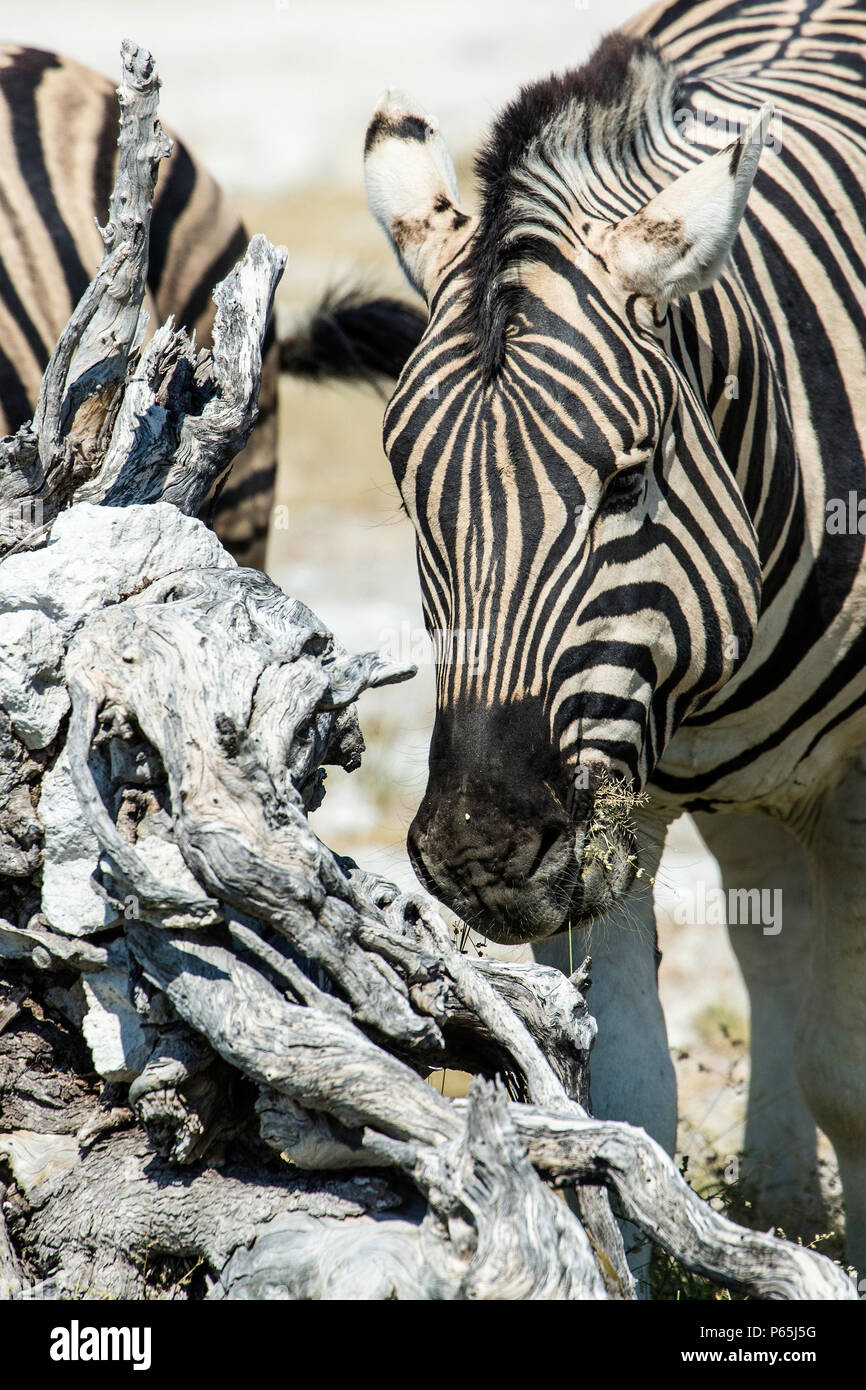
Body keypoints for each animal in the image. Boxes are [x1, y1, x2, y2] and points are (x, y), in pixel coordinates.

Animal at [363, 0, 866, 1278]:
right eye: (410, 497)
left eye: (627, 480)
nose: (478, 854)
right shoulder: (610, 807)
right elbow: (622, 1102)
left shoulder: (855, 782)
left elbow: (848, 1071)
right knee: (764, 924)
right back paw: (777, 1197)